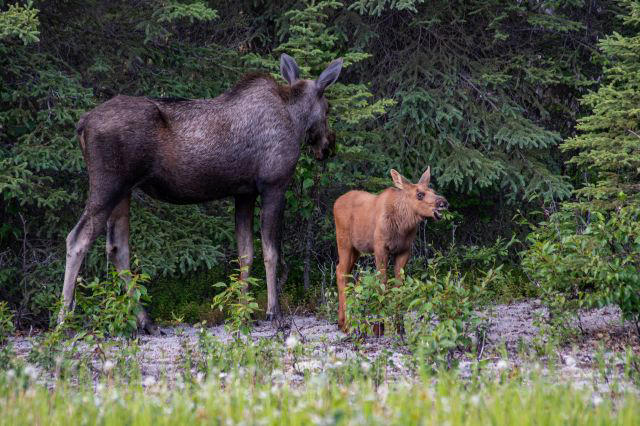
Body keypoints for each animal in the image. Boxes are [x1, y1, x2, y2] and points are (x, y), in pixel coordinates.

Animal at [59, 53, 342, 333]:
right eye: (327, 108)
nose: (329, 144)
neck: (295, 119)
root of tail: (82, 124)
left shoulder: (244, 193)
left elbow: (245, 254)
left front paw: (244, 314)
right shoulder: (274, 184)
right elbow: (271, 252)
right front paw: (275, 314)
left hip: (124, 191)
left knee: (117, 247)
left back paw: (145, 321)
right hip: (109, 184)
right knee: (77, 238)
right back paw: (64, 320)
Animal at [333, 167, 448, 332]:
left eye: (432, 190)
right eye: (419, 194)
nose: (443, 202)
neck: (403, 227)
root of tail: (336, 203)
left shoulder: (404, 250)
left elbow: (399, 285)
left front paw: (400, 328)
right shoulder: (380, 247)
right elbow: (382, 282)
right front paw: (379, 327)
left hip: (356, 249)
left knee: (342, 271)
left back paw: (341, 322)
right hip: (344, 242)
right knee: (342, 272)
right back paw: (346, 324)